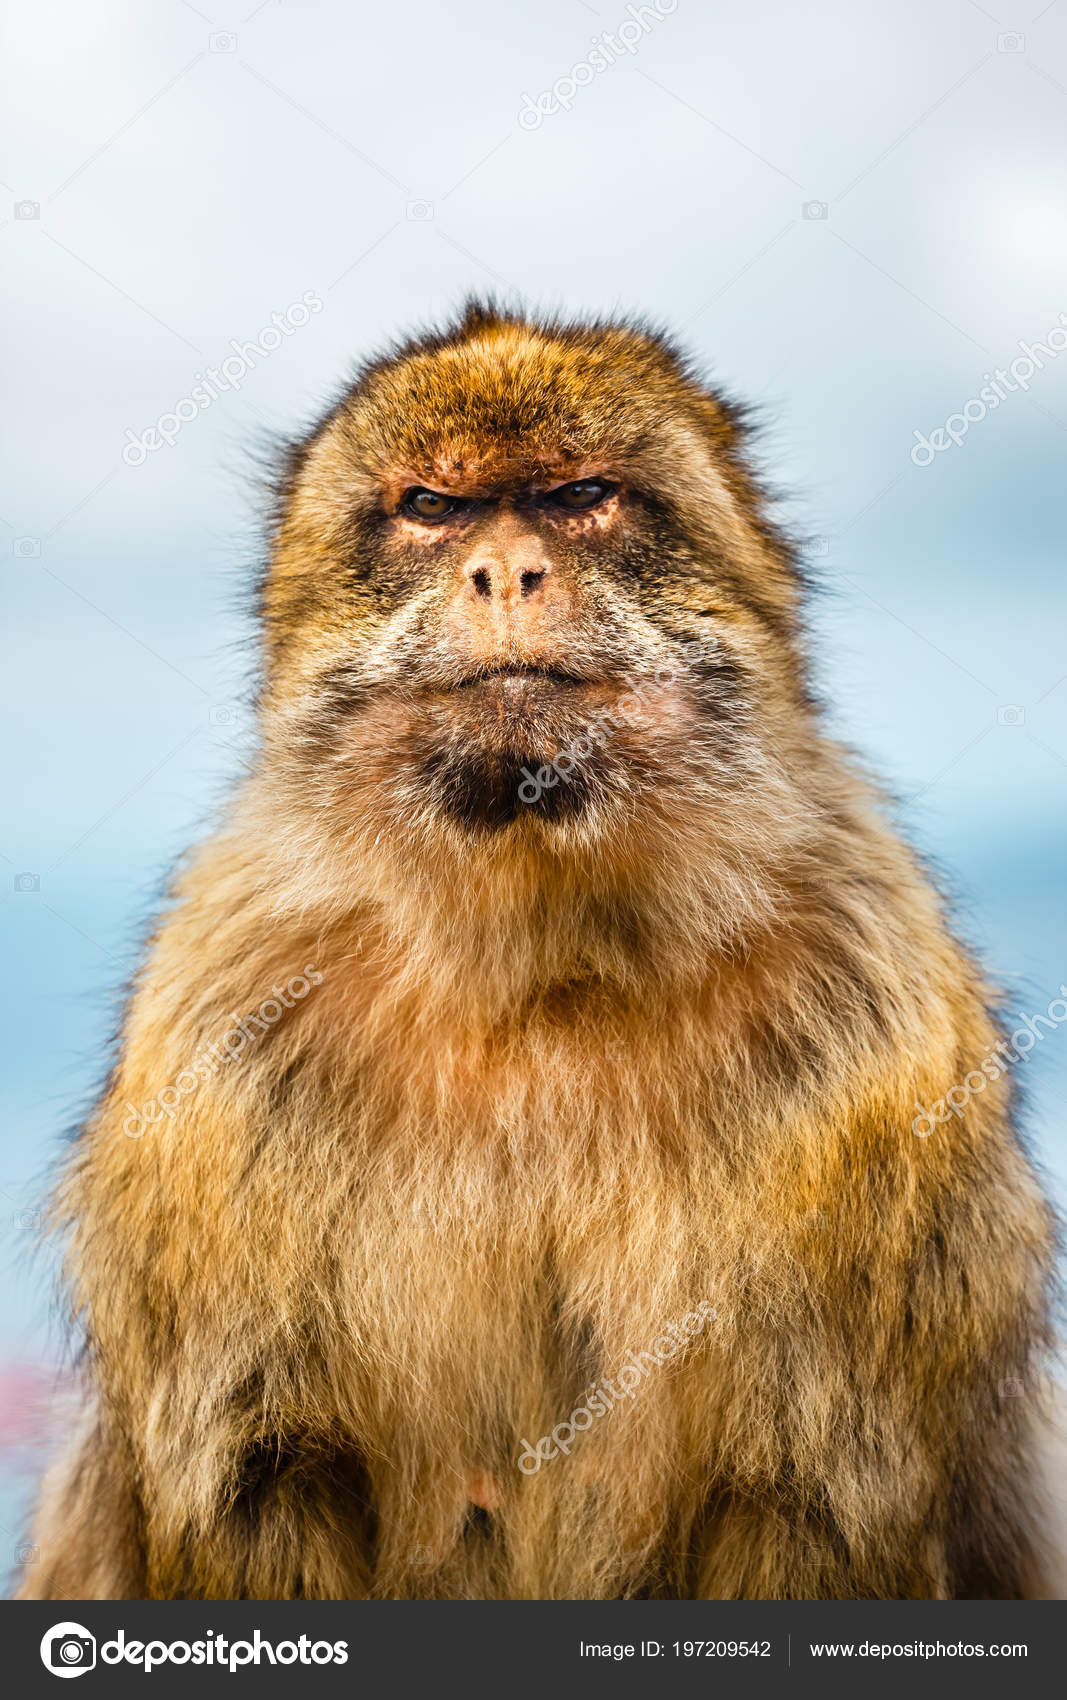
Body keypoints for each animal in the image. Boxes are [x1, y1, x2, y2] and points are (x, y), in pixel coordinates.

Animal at [18, 299, 1059, 1601]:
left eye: (577, 496)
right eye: (431, 505)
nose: (504, 569)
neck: (531, 951)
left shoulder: (875, 1049)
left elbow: (810, 1498)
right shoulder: (216, 1039)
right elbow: (257, 1484)